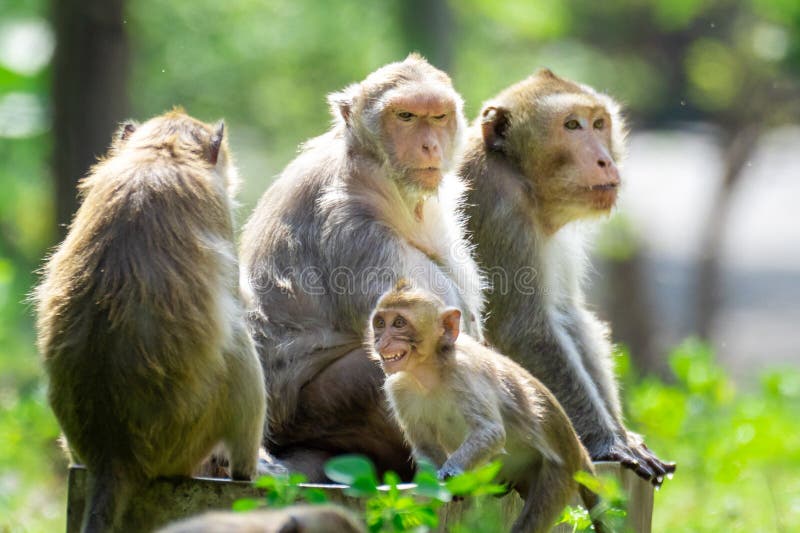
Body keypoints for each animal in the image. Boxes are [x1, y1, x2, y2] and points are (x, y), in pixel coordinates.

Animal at [34, 110, 267, 532]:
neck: (161, 153)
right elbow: (236, 301)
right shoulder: (217, 207)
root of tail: (113, 454)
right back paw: (246, 472)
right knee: (239, 345)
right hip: (190, 436)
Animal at [368, 281, 609, 533]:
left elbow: (490, 432)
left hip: (559, 475)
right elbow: (425, 443)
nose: (380, 341)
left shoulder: (465, 374)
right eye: (380, 323)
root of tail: (576, 446)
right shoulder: (398, 390)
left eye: (399, 323)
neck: (430, 372)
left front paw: (450, 472)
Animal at [458, 68, 676, 486]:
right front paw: (610, 443)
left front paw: (623, 435)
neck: (518, 173)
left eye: (599, 124)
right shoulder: (500, 209)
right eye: (571, 125)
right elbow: (527, 329)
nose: (605, 160)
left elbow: (568, 317)